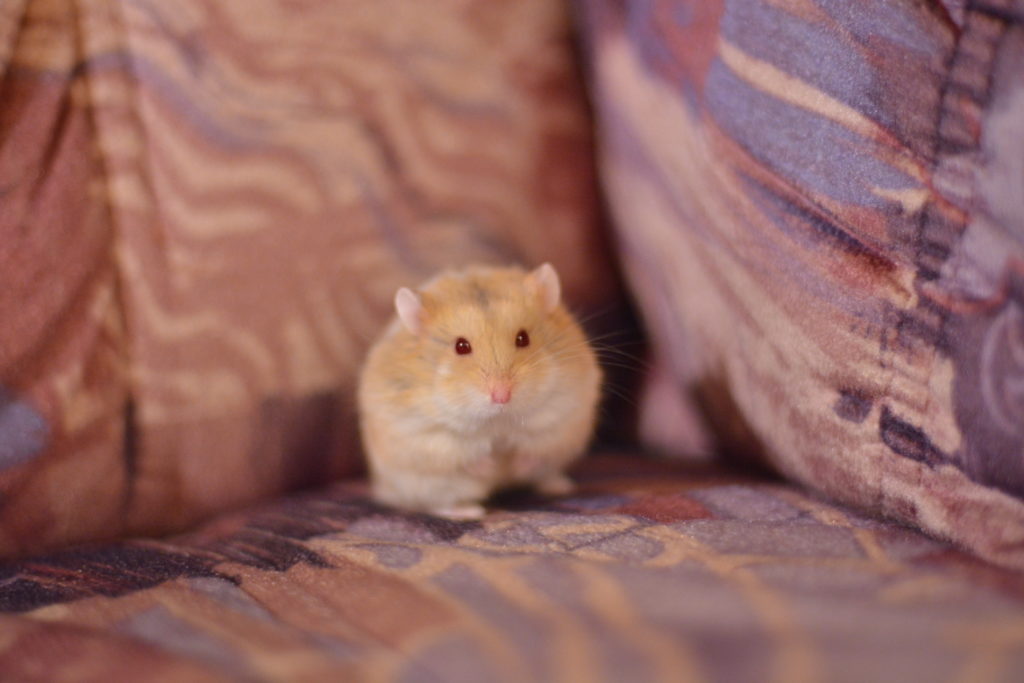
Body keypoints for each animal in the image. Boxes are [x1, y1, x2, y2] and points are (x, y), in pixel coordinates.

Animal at [357, 263, 602, 519]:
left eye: (523, 338)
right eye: (461, 346)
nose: (502, 396)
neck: (498, 421)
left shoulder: (564, 412)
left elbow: (535, 445)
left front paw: (515, 463)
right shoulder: (421, 433)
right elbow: (463, 453)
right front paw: (490, 466)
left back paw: (560, 486)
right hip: (420, 485)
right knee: (436, 504)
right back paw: (469, 511)